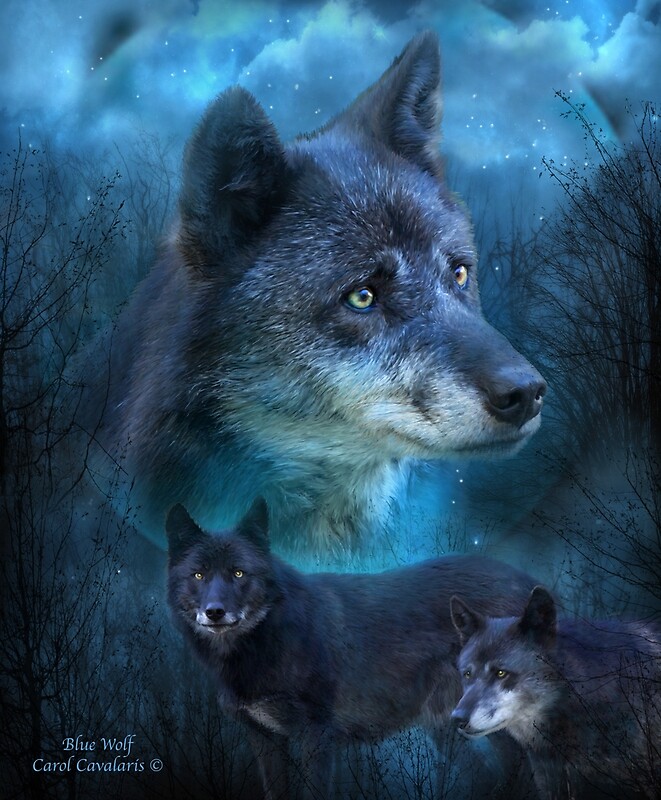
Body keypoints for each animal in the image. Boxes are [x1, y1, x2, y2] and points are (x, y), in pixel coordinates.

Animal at [166, 497, 540, 799]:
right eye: (198, 575)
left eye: (239, 573)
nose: (214, 611)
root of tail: (528, 581)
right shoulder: (265, 739)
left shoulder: (316, 737)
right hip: (451, 728)